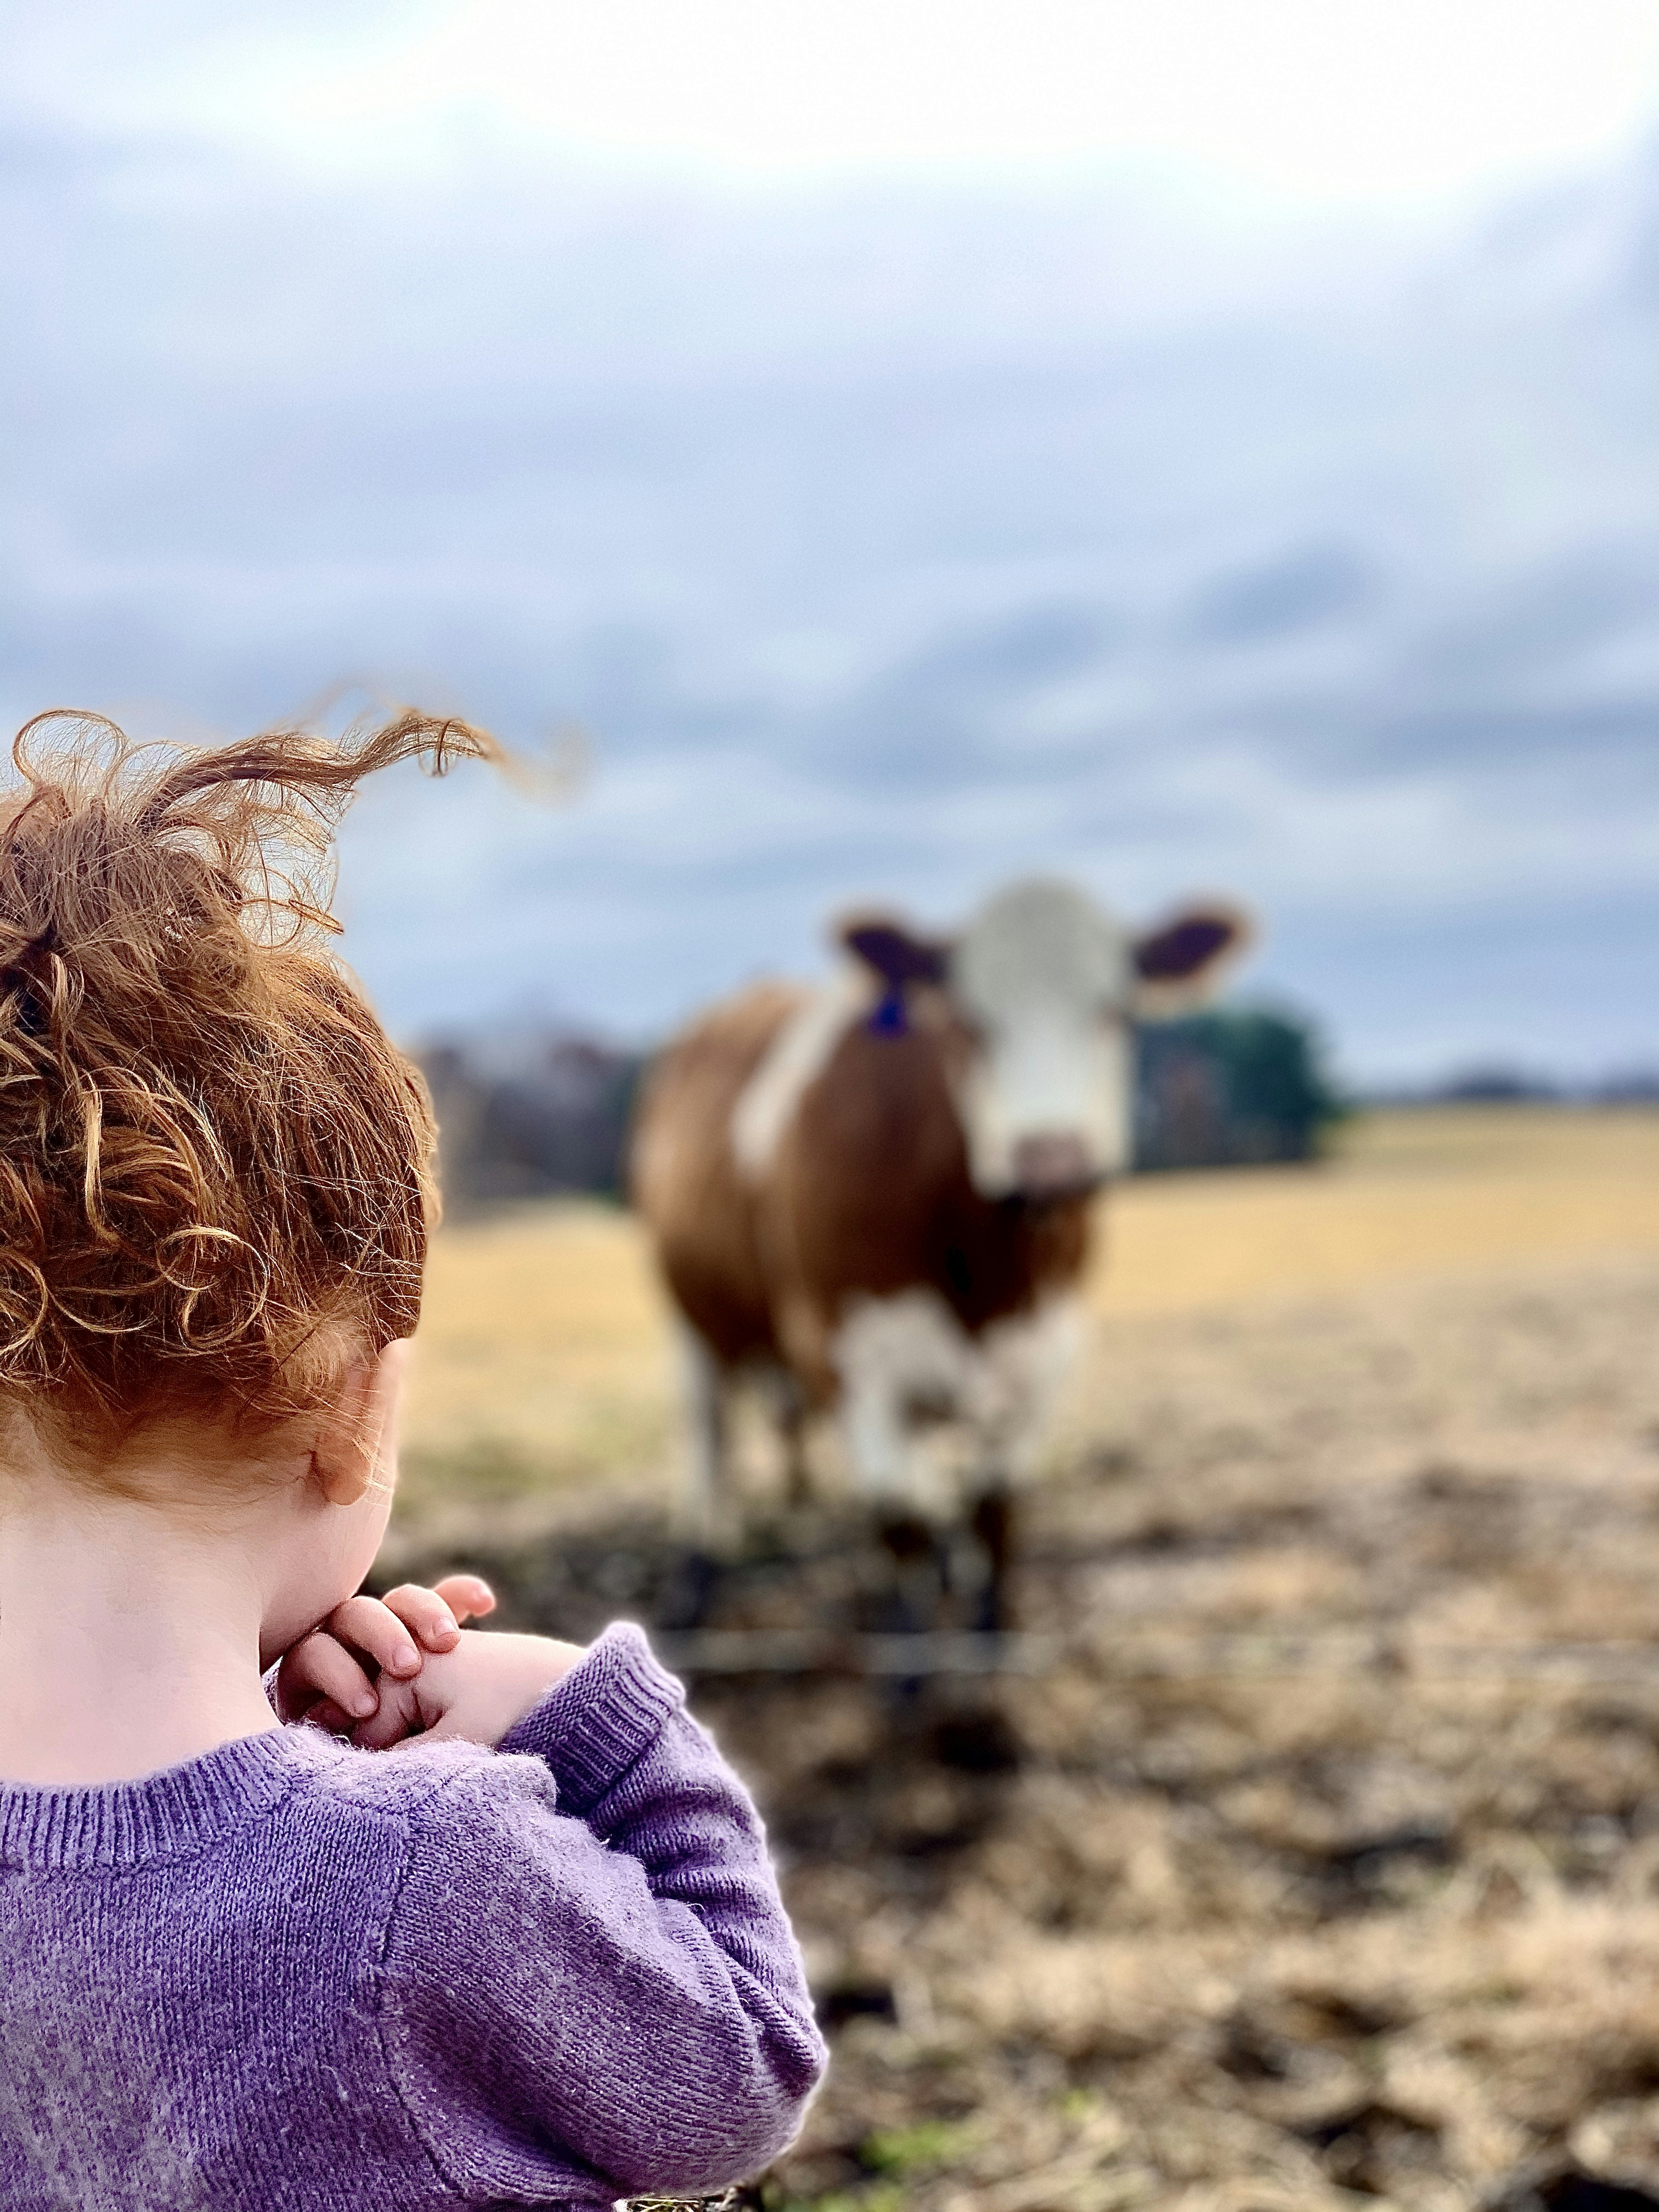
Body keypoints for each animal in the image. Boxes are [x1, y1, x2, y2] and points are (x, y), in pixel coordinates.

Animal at [630, 877, 1247, 1628]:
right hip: (691, 1319)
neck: (992, 1269)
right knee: (709, 1444)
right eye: (968, 1022)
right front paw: (911, 1640)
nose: (1051, 1164)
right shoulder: (845, 1360)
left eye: (1117, 1011)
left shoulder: (1046, 1356)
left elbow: (993, 1511)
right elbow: (898, 1525)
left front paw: (988, 1625)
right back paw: (694, 1578)